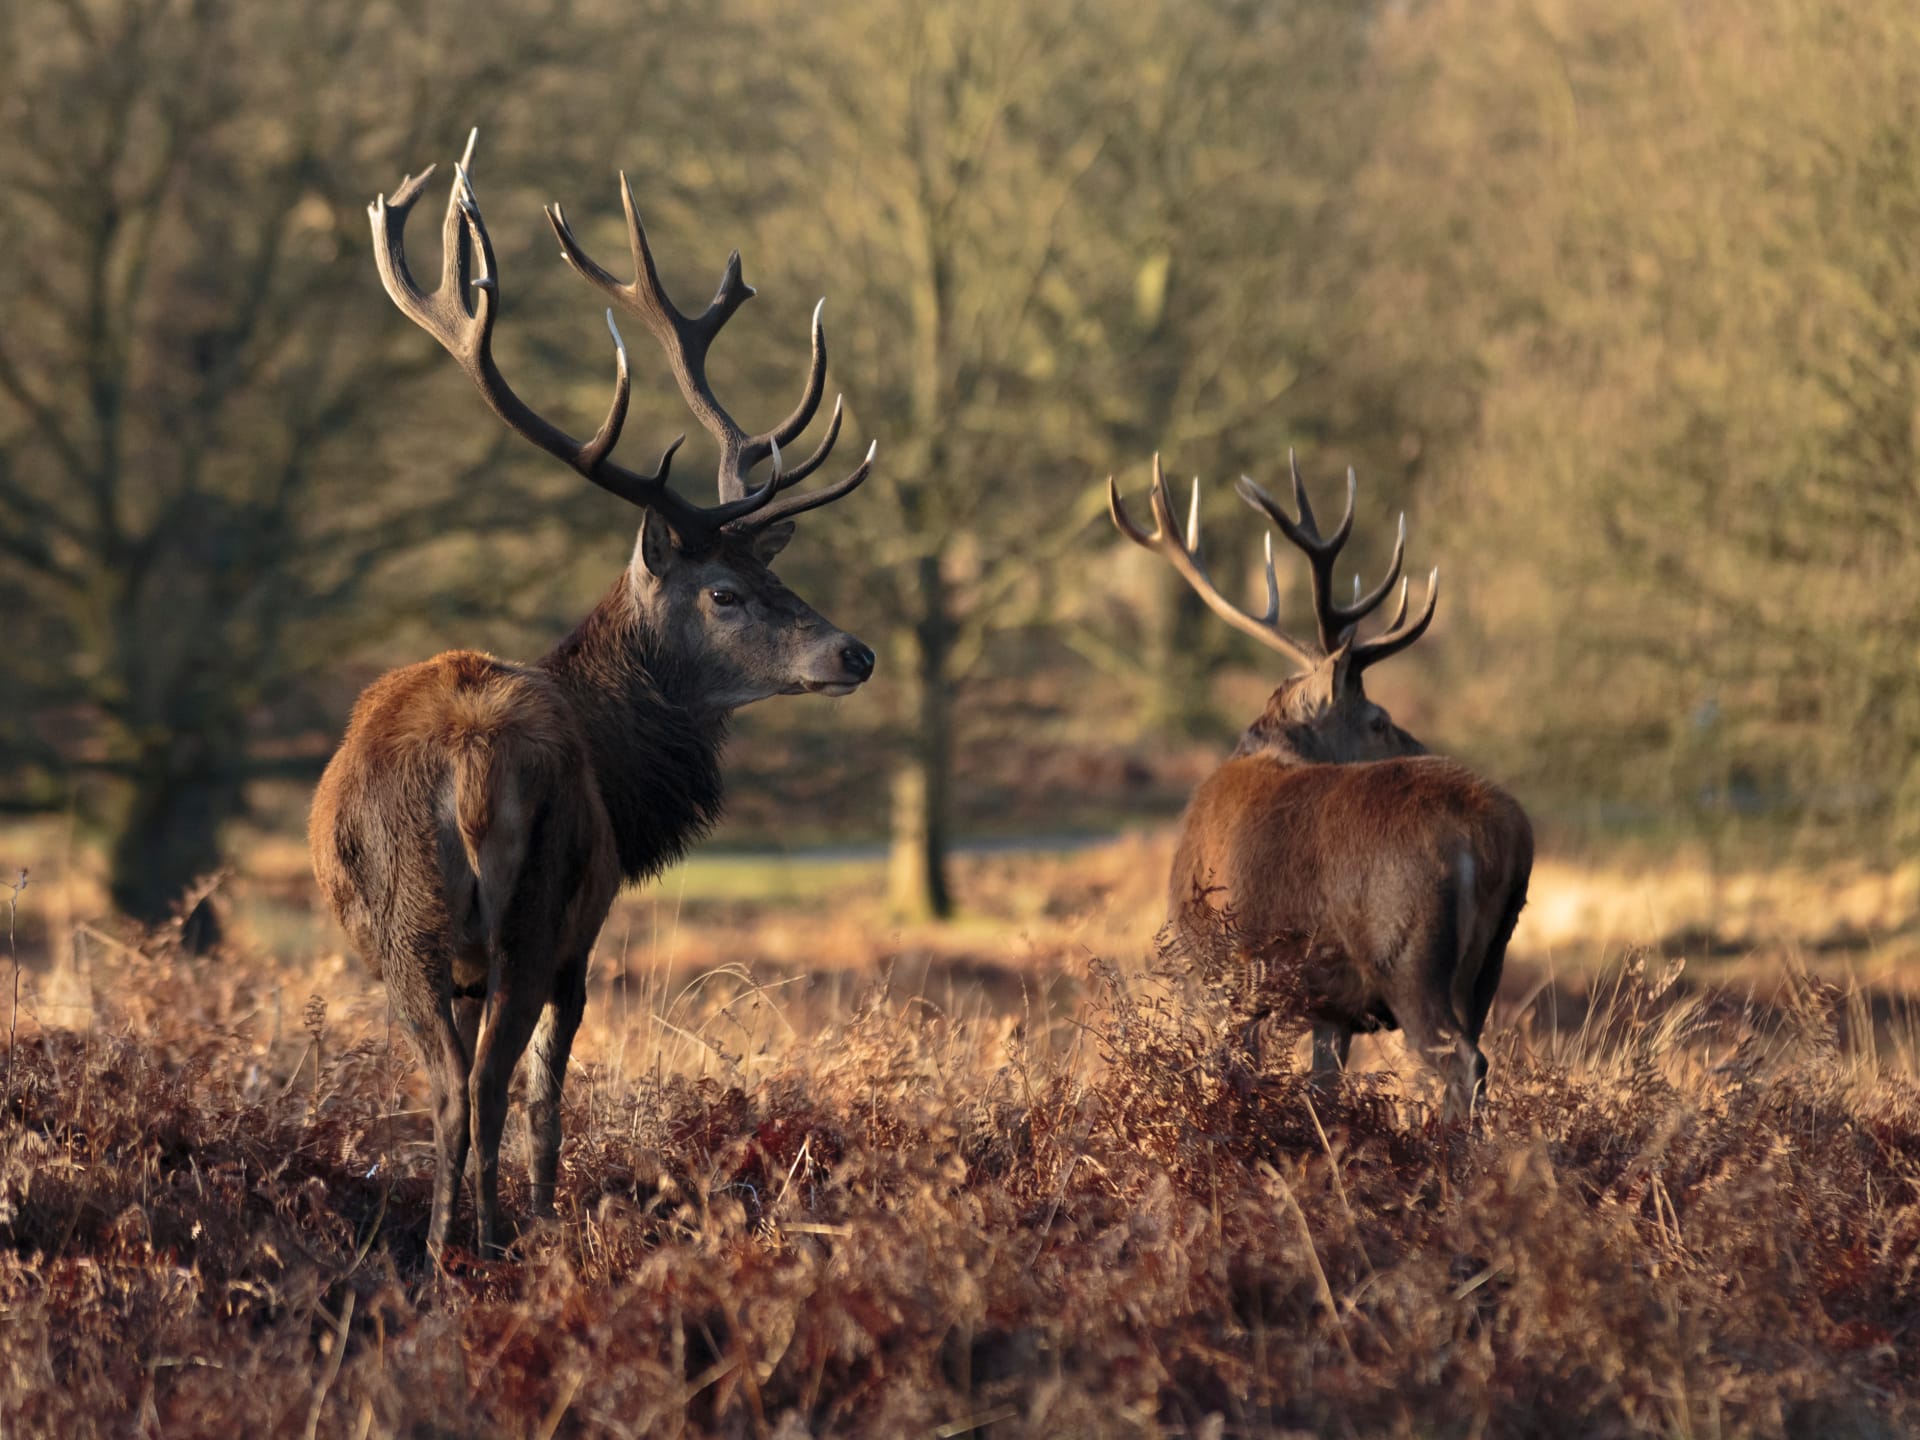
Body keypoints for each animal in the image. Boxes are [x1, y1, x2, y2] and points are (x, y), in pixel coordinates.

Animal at [310, 132, 879, 1258]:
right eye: (726, 591)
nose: (855, 653)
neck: (625, 776)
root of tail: (471, 762)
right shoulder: (589, 922)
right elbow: (549, 1092)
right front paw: (545, 1214)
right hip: (535, 907)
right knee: (488, 1086)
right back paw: (495, 1242)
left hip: (410, 928)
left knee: (447, 1087)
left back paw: (444, 1247)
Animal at [1109, 454, 1532, 1119]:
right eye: (1380, 721)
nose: (1419, 744)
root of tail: (1503, 839)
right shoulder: (1329, 1004)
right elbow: (1323, 1087)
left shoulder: (1219, 976)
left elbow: (1234, 1077)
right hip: (1490, 960)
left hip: (1406, 955)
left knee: (1464, 1064)